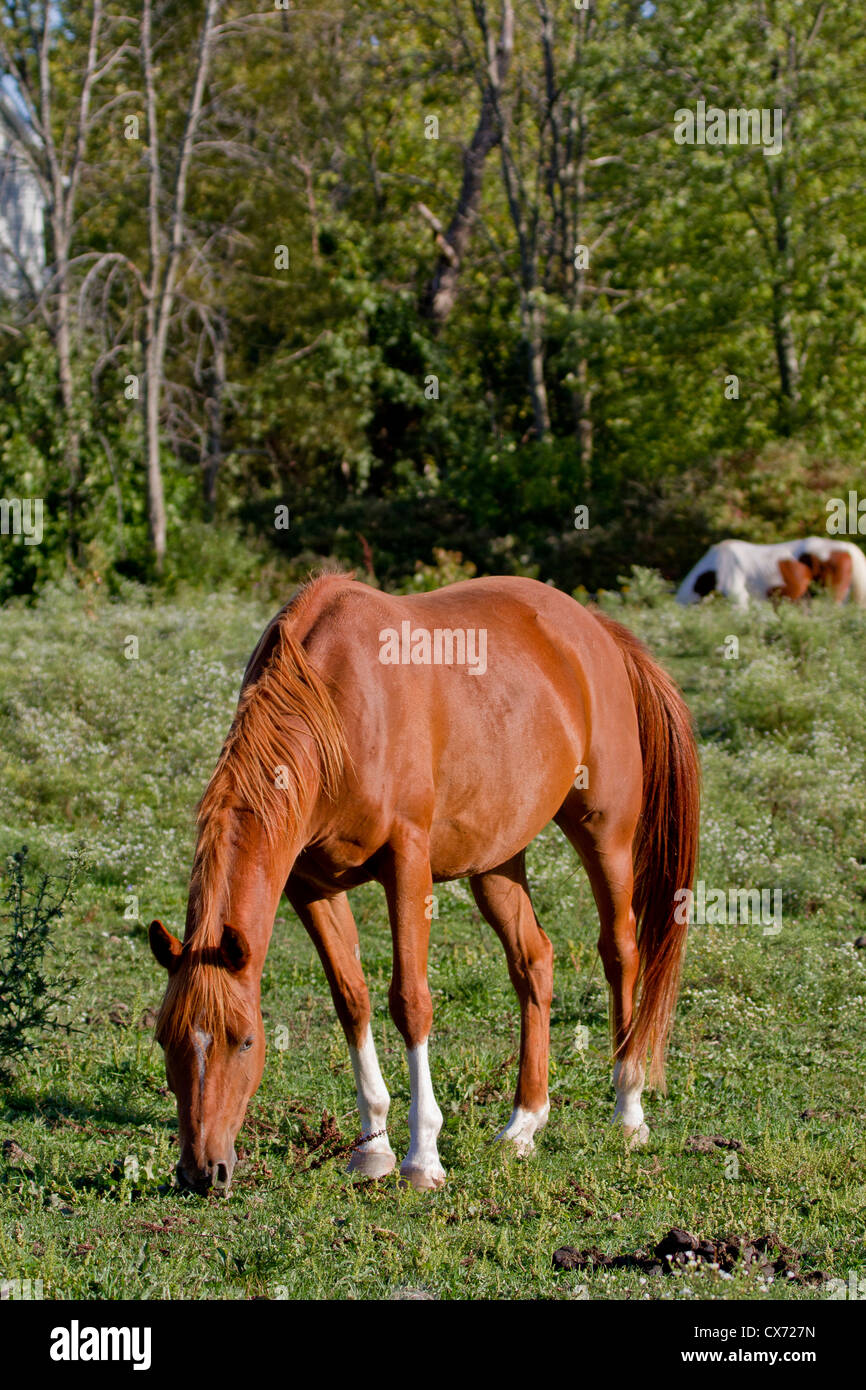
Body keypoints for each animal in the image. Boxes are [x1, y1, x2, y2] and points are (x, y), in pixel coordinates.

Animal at [149, 573, 699, 1193]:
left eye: (243, 1039)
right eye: (165, 1037)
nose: (201, 1171)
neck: (336, 704)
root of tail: (595, 630)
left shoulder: (407, 863)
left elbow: (410, 1001)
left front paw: (422, 1156)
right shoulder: (311, 884)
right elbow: (352, 999)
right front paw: (373, 1148)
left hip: (605, 833)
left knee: (621, 951)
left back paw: (628, 1111)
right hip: (496, 860)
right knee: (533, 960)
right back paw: (524, 1125)